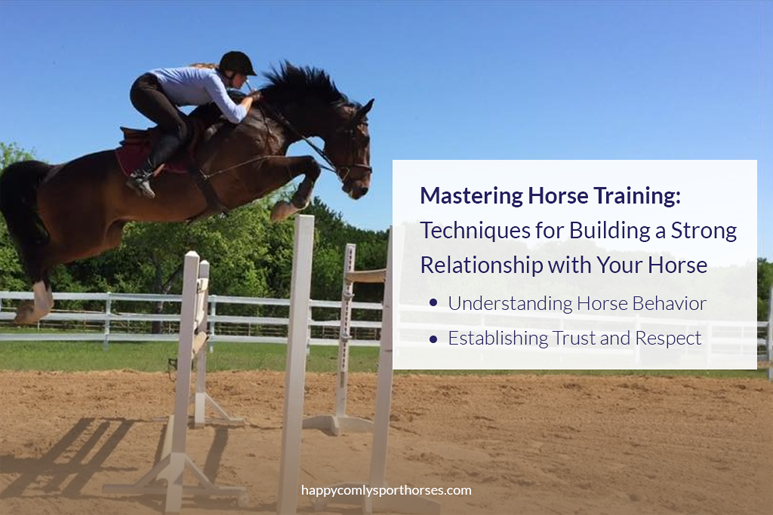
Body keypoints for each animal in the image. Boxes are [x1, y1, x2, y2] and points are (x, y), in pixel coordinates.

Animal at [0, 63, 374, 325]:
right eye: (361, 138)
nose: (361, 188)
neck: (269, 121)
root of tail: (51, 171)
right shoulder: (252, 173)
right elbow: (309, 163)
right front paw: (286, 207)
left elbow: (308, 165)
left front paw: (288, 206)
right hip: (81, 236)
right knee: (36, 255)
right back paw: (34, 310)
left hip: (103, 239)